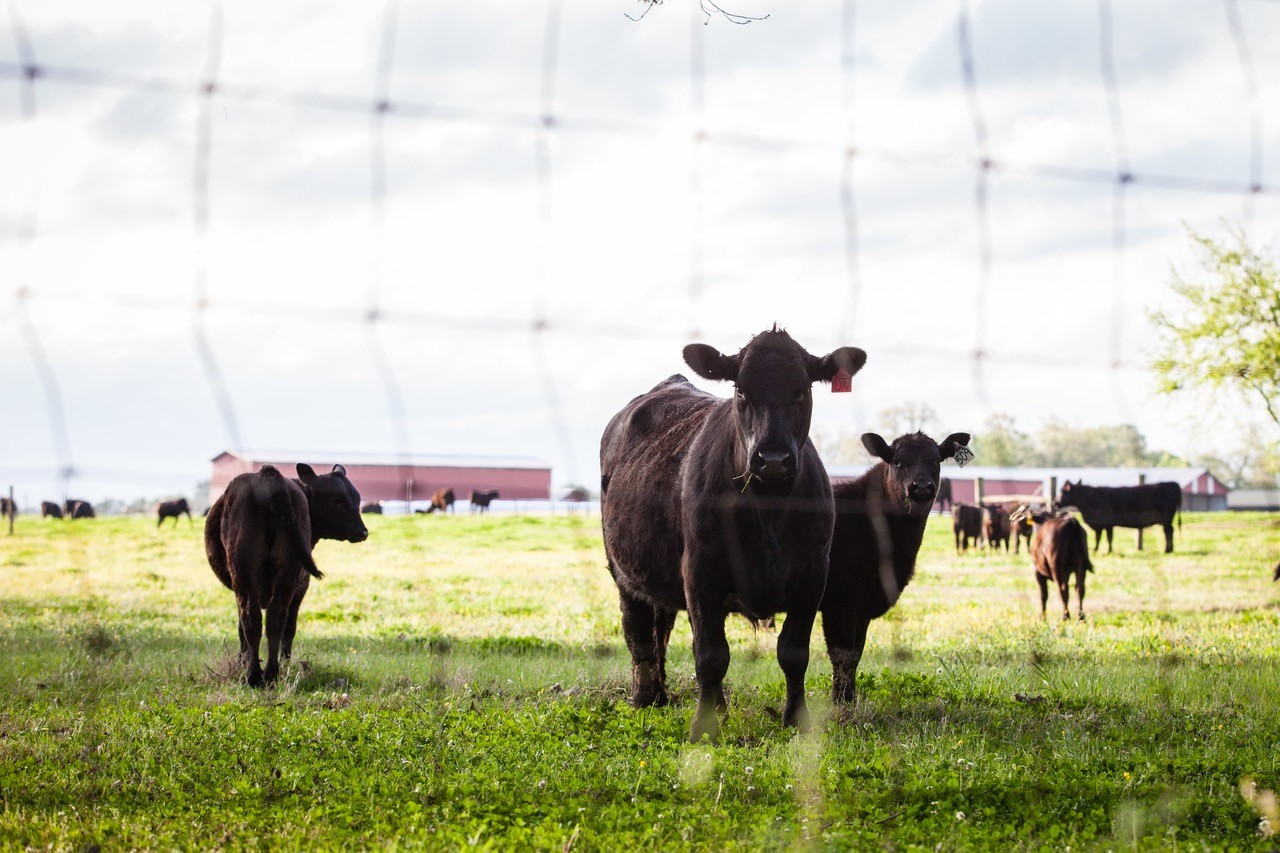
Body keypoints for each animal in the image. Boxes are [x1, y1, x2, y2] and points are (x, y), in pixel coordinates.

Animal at [205, 463, 368, 687]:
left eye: (357, 498)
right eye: (336, 500)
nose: (363, 532)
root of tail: (269, 475)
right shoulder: (301, 584)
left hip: (251, 570)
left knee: (260, 617)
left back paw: (260, 675)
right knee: (269, 618)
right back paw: (265, 675)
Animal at [601, 327, 866, 742]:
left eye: (802, 389)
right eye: (741, 390)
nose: (772, 458)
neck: (768, 512)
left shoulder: (813, 574)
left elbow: (794, 652)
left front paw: (796, 720)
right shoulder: (699, 571)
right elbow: (711, 655)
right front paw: (703, 727)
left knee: (663, 628)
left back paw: (676, 697)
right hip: (622, 569)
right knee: (638, 629)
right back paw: (645, 697)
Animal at [822, 430, 970, 705]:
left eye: (936, 460)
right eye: (898, 461)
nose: (921, 487)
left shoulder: (862, 606)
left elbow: (855, 654)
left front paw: (850, 699)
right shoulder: (841, 601)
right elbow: (842, 655)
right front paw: (840, 703)